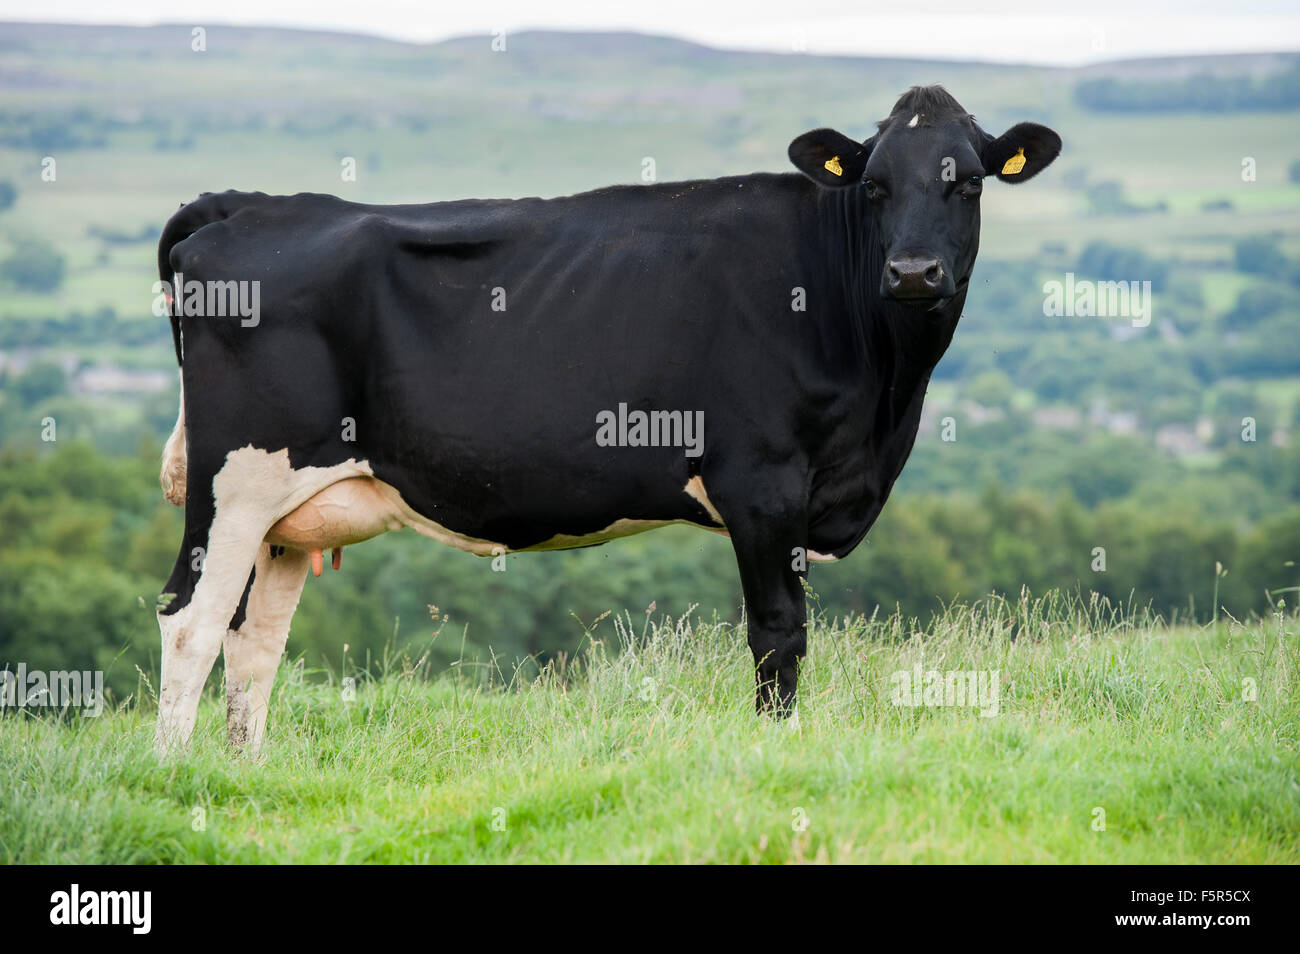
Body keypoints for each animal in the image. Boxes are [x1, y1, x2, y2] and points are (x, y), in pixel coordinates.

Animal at [153, 85, 1060, 753]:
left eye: (967, 181)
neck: (883, 406)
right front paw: (776, 749)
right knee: (191, 620)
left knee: (254, 637)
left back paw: (246, 771)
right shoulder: (762, 482)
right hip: (234, 483)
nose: (912, 271)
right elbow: (779, 630)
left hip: (287, 509)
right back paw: (179, 775)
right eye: (874, 186)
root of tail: (248, 205)